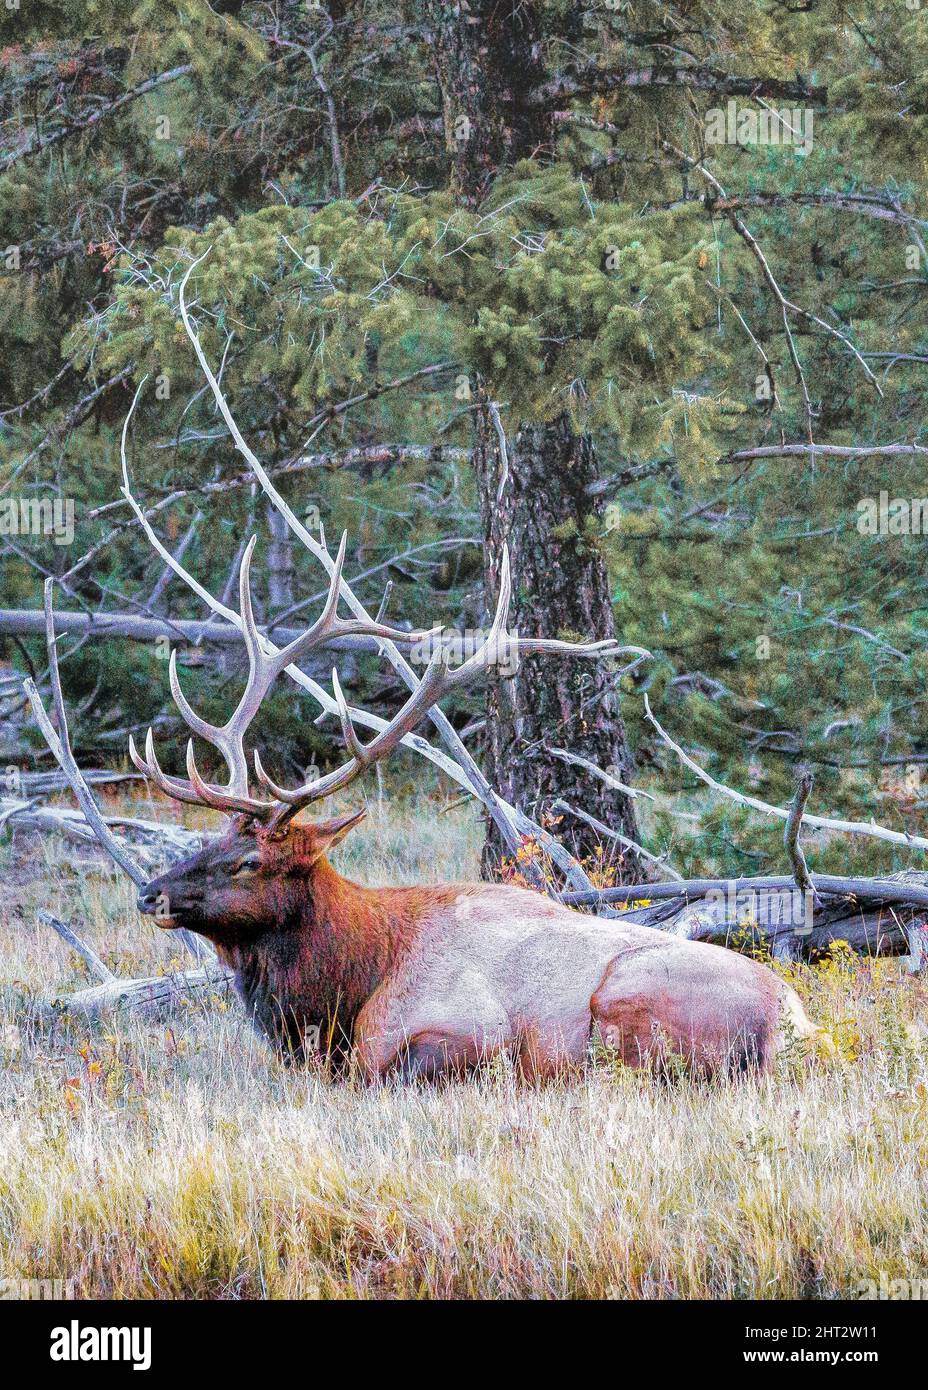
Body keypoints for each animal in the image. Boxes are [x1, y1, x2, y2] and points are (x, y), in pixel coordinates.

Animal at [130, 529, 823, 1082]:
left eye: (248, 862)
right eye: (209, 842)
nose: (149, 892)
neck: (349, 987)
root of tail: (790, 1027)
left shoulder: (466, 1036)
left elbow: (395, 1074)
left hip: (621, 1007)